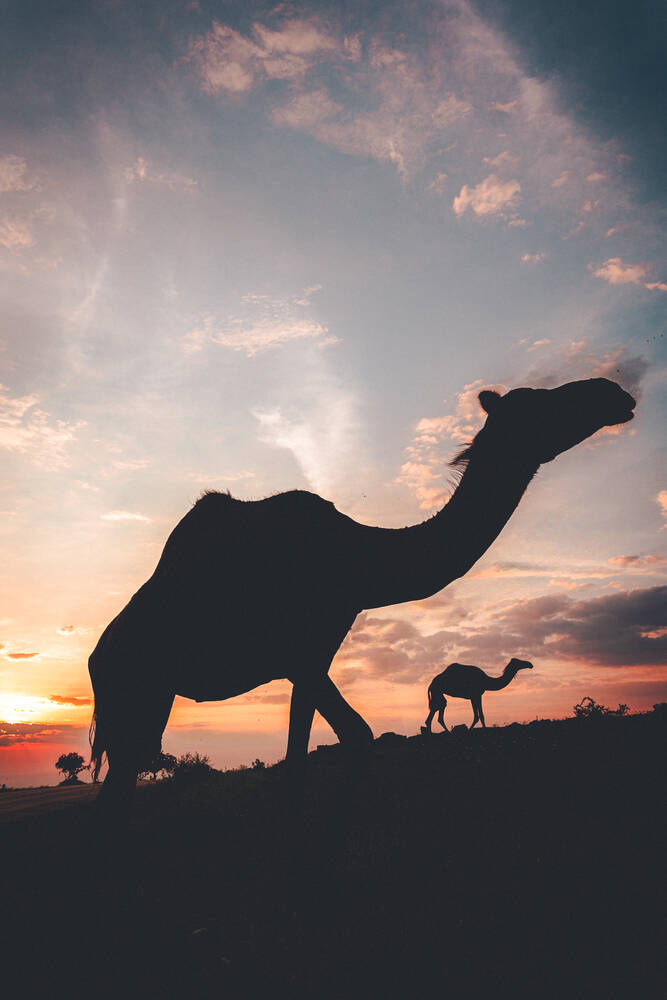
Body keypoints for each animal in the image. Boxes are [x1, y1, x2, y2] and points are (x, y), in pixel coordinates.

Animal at [88, 377, 635, 814]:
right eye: (543, 403)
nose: (614, 391)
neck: (359, 559)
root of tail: (95, 657)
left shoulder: (311, 659)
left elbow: (329, 748)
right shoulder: (302, 654)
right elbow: (332, 748)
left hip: (151, 695)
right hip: (129, 687)